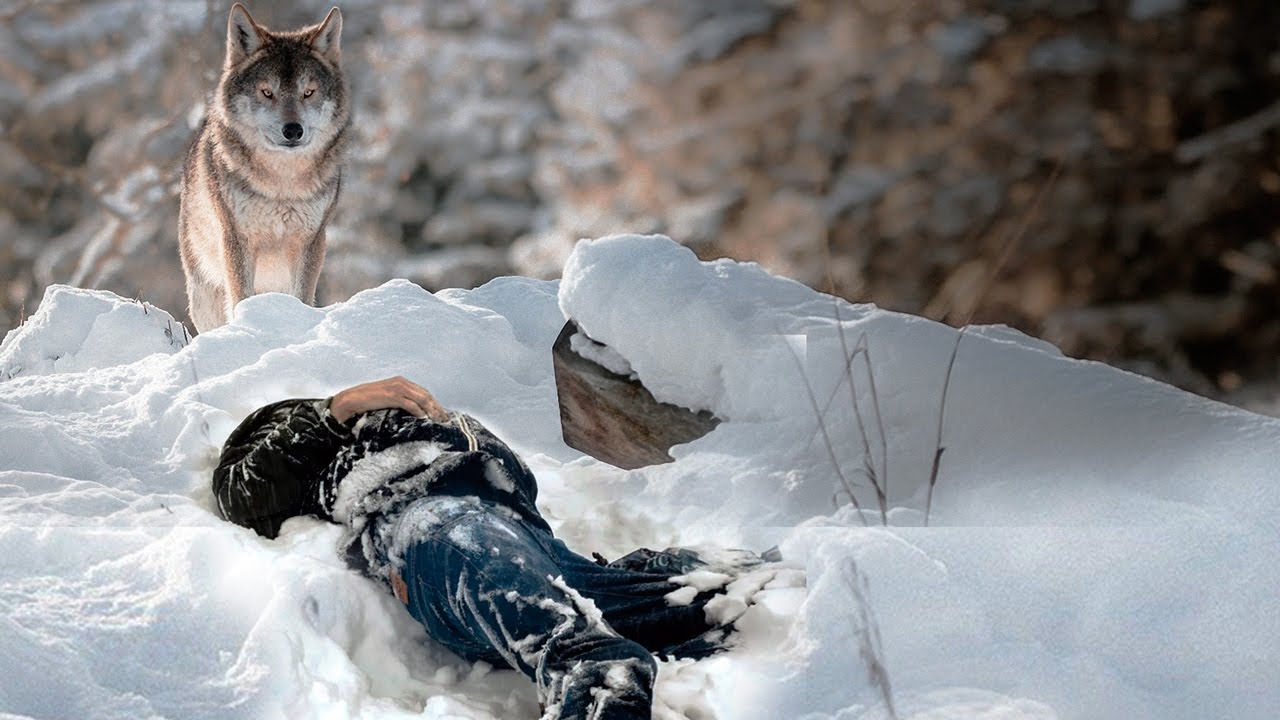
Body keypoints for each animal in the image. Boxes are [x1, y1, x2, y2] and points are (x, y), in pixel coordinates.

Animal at [179, 2, 350, 333]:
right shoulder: (236, 238)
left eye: (308, 92)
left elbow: (302, 296)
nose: (293, 130)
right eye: (267, 92)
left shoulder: (311, 240)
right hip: (203, 293)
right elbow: (240, 297)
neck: (282, 185)